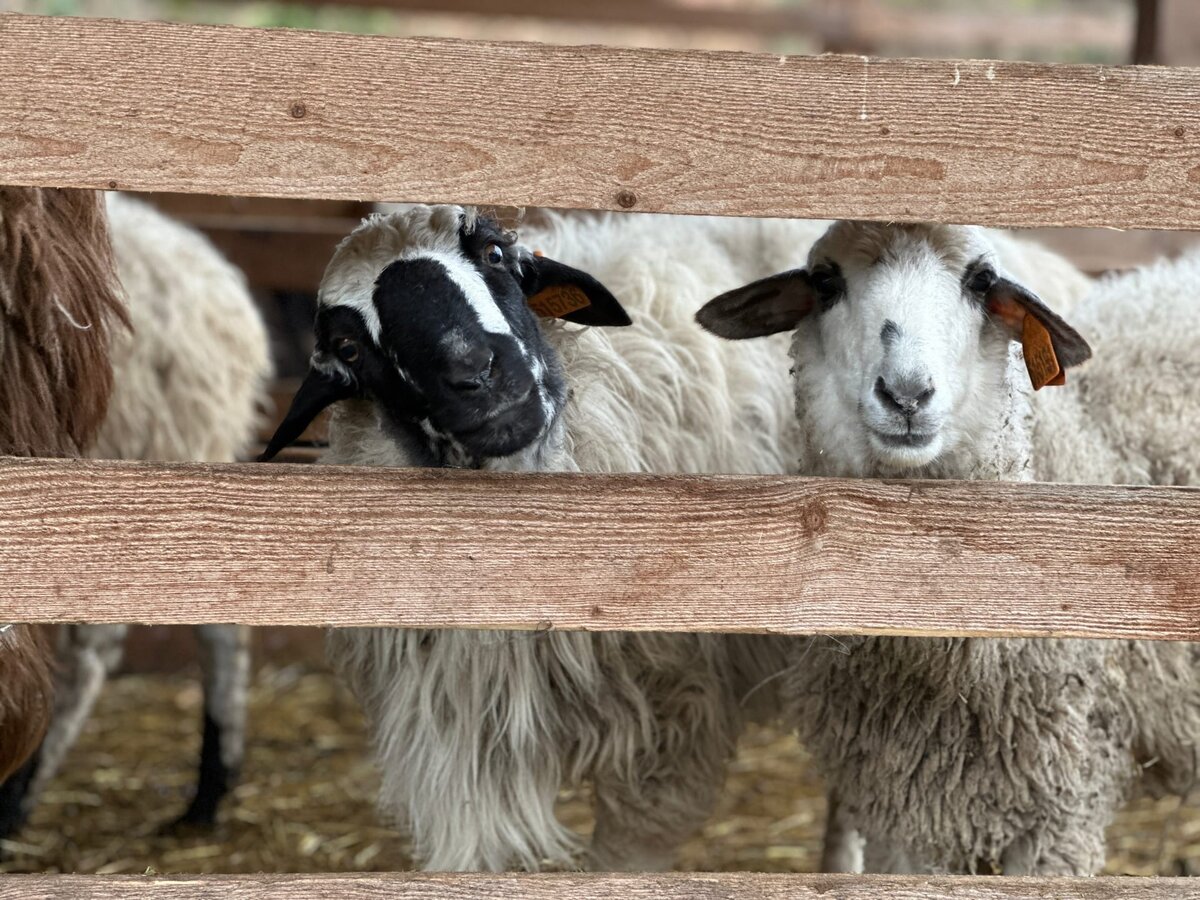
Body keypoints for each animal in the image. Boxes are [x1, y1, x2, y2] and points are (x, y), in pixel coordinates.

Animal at [258, 206, 830, 873]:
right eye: (349, 347)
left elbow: (629, 853)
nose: (476, 375)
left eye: (495, 254)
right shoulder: (458, 738)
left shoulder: (674, 714)